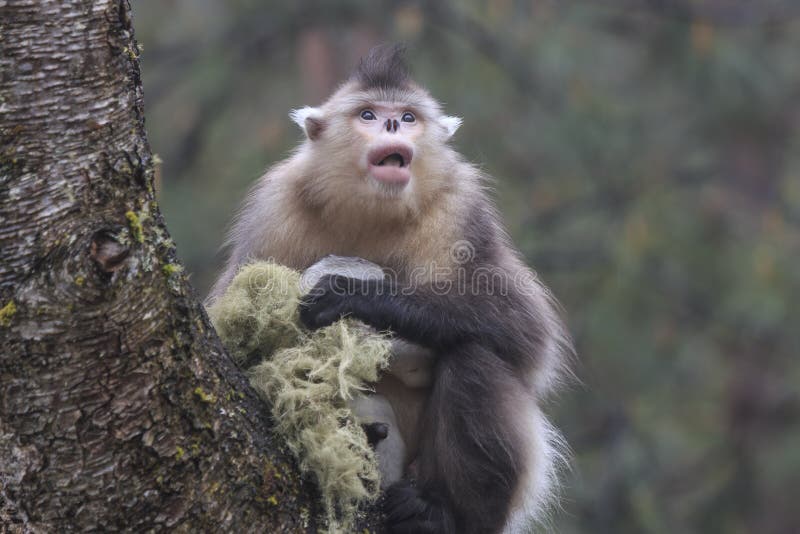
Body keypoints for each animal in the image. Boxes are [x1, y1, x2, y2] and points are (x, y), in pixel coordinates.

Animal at [209, 45, 572, 534]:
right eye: (368, 115)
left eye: (407, 116)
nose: (393, 126)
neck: (370, 211)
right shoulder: (273, 209)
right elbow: (235, 337)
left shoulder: (461, 207)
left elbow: (527, 333)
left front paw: (354, 296)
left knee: (474, 358)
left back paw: (439, 512)